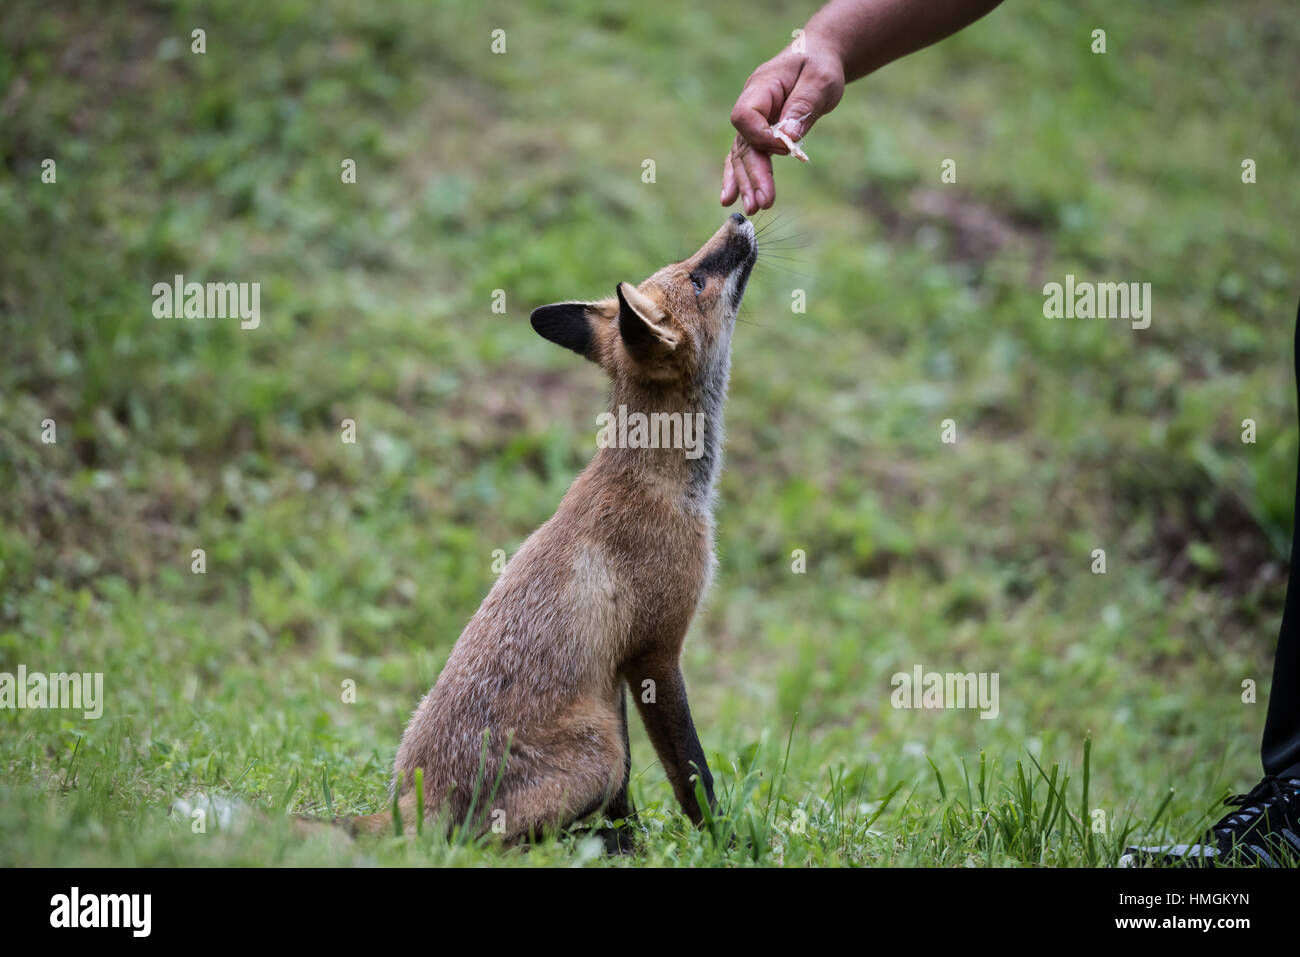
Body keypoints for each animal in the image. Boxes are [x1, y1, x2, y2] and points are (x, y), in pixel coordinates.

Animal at [346, 213, 758, 845]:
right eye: (695, 279)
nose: (737, 216)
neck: (657, 485)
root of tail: (412, 807)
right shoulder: (656, 651)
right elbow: (692, 772)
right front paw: (721, 841)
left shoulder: (614, 671)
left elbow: (628, 794)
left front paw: (634, 844)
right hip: (595, 750)